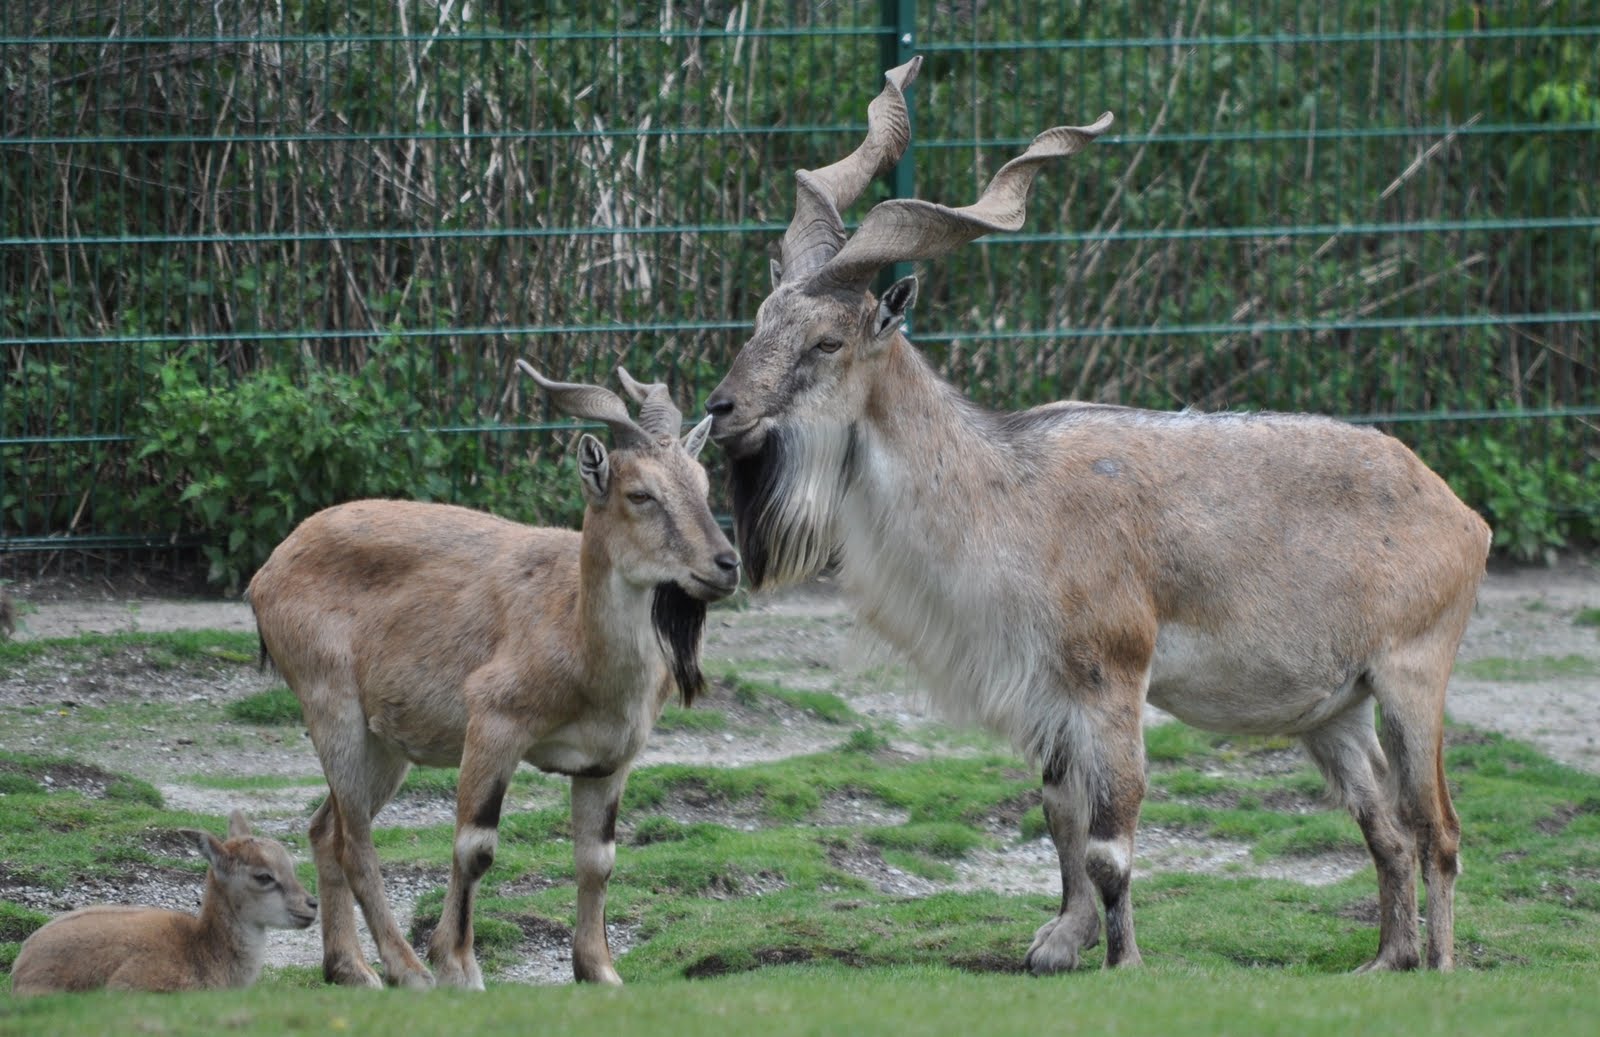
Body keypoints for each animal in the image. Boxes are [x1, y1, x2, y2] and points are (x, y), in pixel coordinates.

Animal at [246, 367, 739, 990]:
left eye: (703, 483)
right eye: (640, 494)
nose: (727, 565)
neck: (579, 643)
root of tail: (269, 568)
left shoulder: (609, 762)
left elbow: (598, 860)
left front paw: (600, 971)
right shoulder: (494, 725)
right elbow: (474, 847)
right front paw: (459, 967)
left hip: (386, 745)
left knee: (324, 830)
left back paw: (351, 970)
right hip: (331, 708)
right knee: (355, 841)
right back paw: (407, 970)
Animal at [705, 57, 1490, 974]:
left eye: (827, 341)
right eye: (763, 317)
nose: (722, 409)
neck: (1006, 494)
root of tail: (1461, 515)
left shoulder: (1114, 677)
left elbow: (1112, 842)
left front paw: (1122, 964)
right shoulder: (1052, 700)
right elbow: (1061, 820)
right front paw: (1060, 940)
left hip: (1412, 676)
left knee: (1438, 829)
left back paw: (1438, 963)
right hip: (1337, 709)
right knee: (1385, 825)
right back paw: (1384, 958)